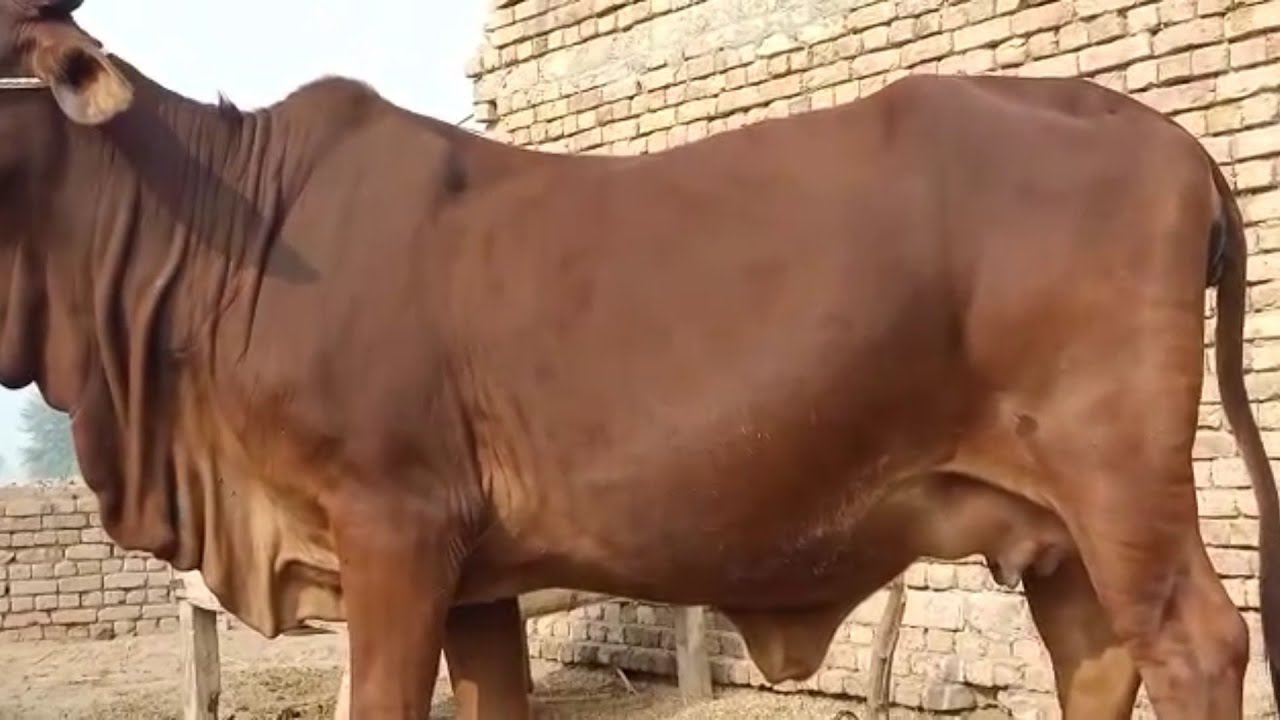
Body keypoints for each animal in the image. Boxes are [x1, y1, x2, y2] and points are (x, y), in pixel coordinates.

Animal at [0, 3, 1275, 719]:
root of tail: (1154, 132)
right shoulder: (477, 575)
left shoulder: (393, 526)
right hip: (1056, 535)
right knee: (1097, 663)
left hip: (1117, 488)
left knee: (1198, 646)